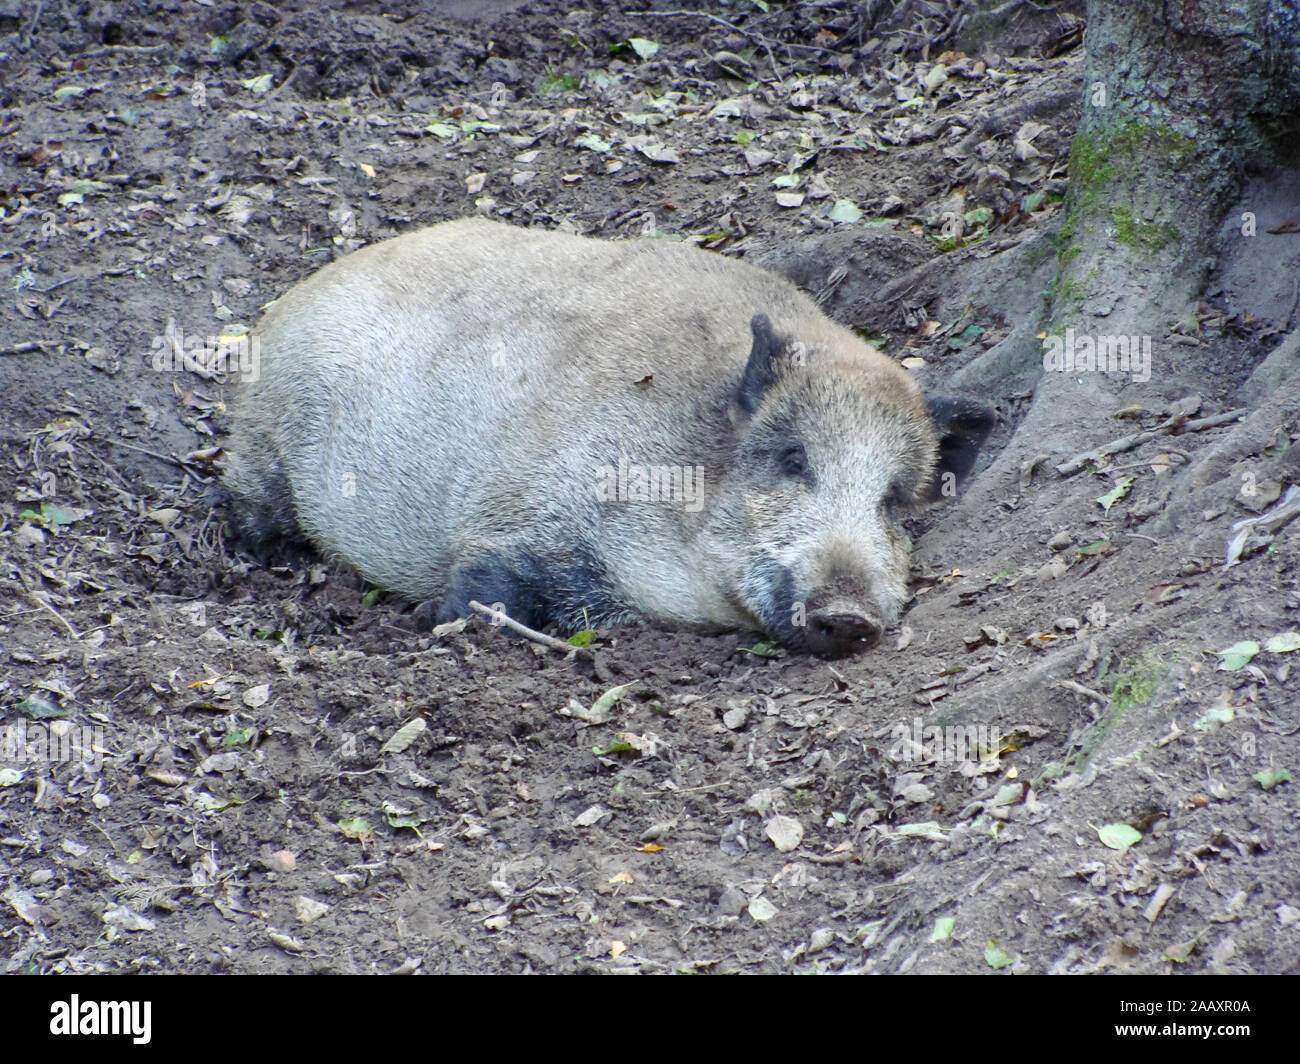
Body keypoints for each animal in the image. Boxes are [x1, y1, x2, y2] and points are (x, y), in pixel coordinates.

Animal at [223, 218, 992, 657]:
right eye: (792, 458)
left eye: (893, 499)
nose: (850, 612)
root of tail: (290, 300)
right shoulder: (520, 508)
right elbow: (485, 586)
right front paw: (432, 618)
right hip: (263, 439)